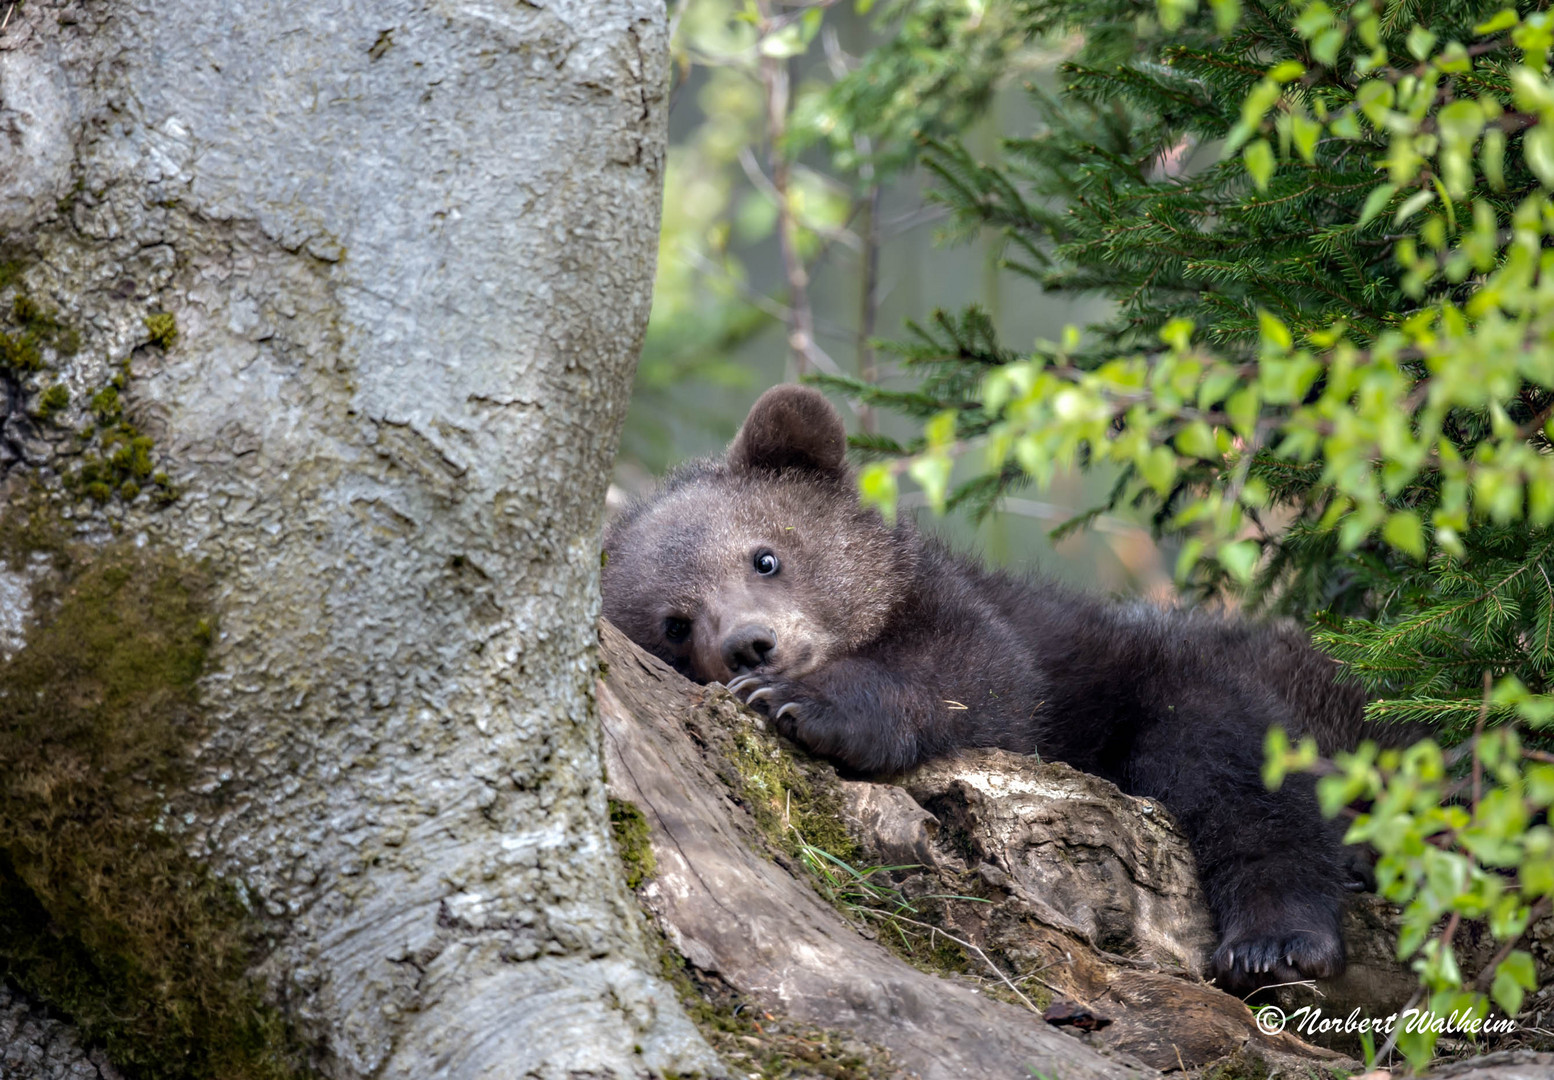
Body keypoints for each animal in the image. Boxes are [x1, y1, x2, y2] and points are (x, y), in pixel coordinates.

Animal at [603, 383, 1387, 994]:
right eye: (675, 624)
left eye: (764, 556)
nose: (750, 644)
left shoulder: (1013, 641)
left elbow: (977, 678)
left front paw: (807, 704)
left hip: (1197, 680)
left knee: (1240, 779)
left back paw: (1277, 939)